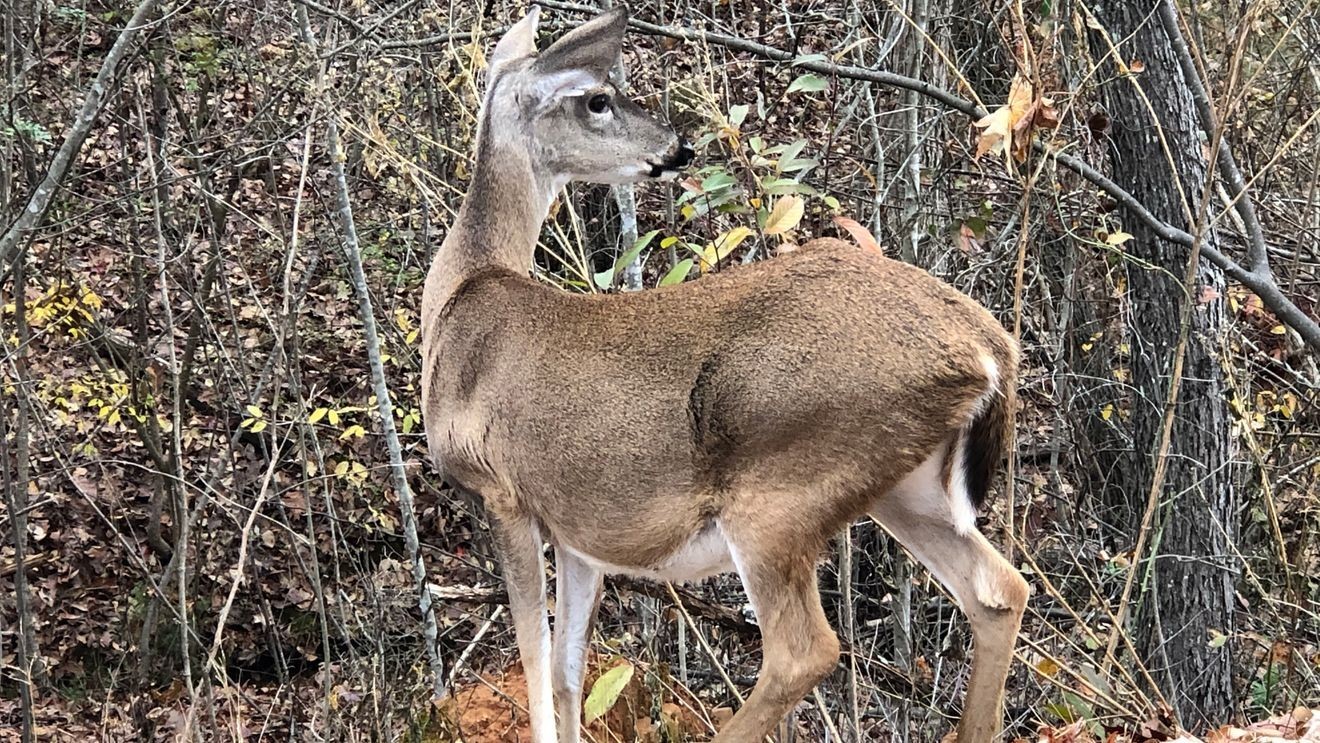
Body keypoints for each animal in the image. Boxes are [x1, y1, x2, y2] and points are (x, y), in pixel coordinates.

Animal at [421, 5, 1028, 742]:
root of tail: (989, 346)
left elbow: (537, 666)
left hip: (783, 488)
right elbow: (567, 671)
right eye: (596, 100)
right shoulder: (575, 532)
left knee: (805, 650)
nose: (677, 147)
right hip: (904, 487)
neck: (462, 297)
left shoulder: (501, 489)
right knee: (999, 591)